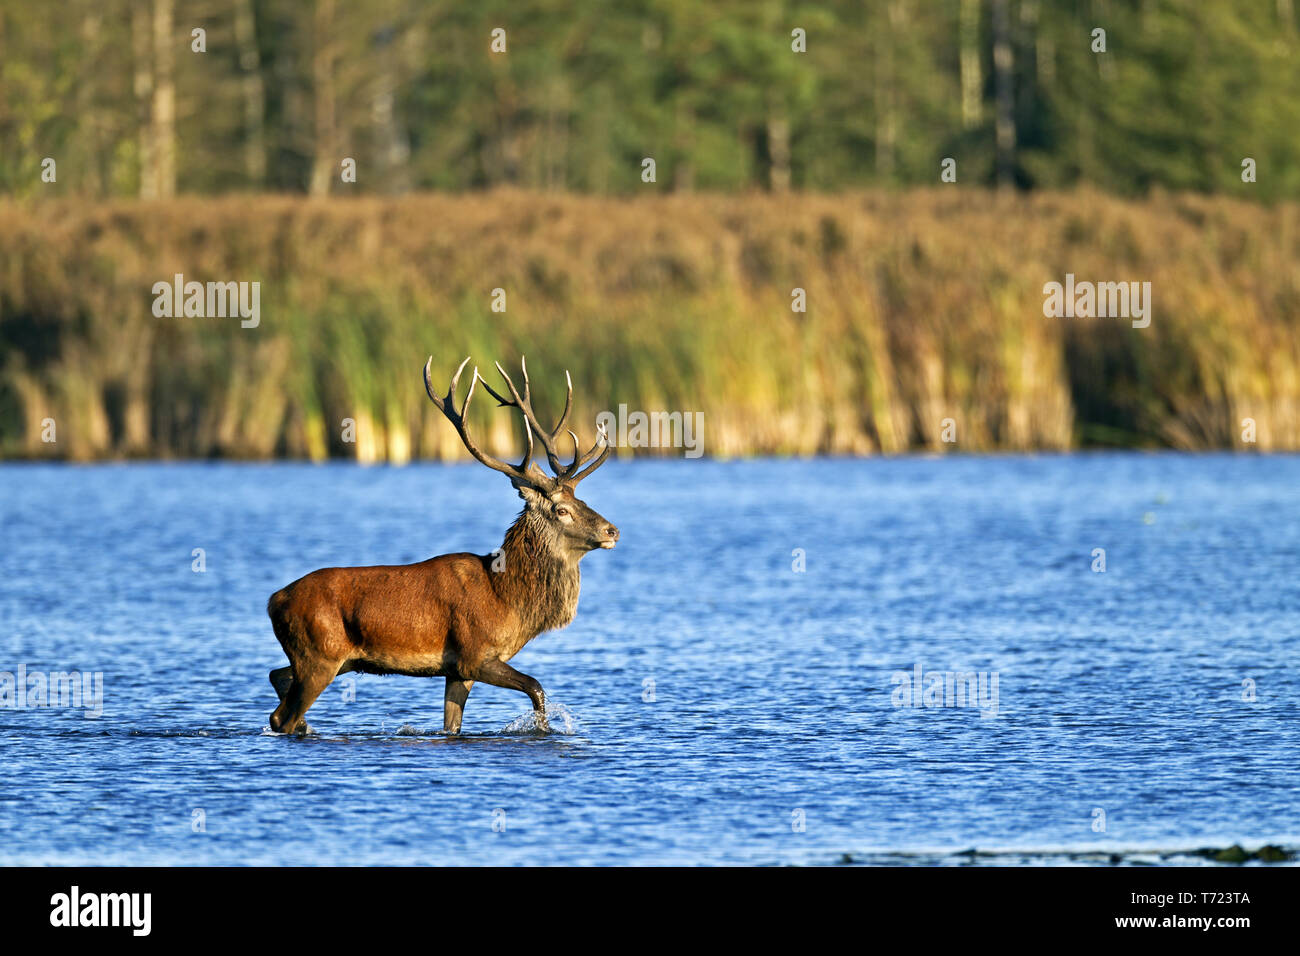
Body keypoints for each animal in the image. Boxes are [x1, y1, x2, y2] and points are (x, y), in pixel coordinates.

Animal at [265, 356, 618, 736]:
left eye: (580, 499)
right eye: (561, 509)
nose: (612, 530)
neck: (507, 600)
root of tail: (273, 601)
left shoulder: (456, 671)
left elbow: (452, 724)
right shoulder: (475, 654)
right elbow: (536, 687)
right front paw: (542, 729)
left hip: (329, 659)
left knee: (277, 678)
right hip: (320, 655)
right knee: (282, 716)